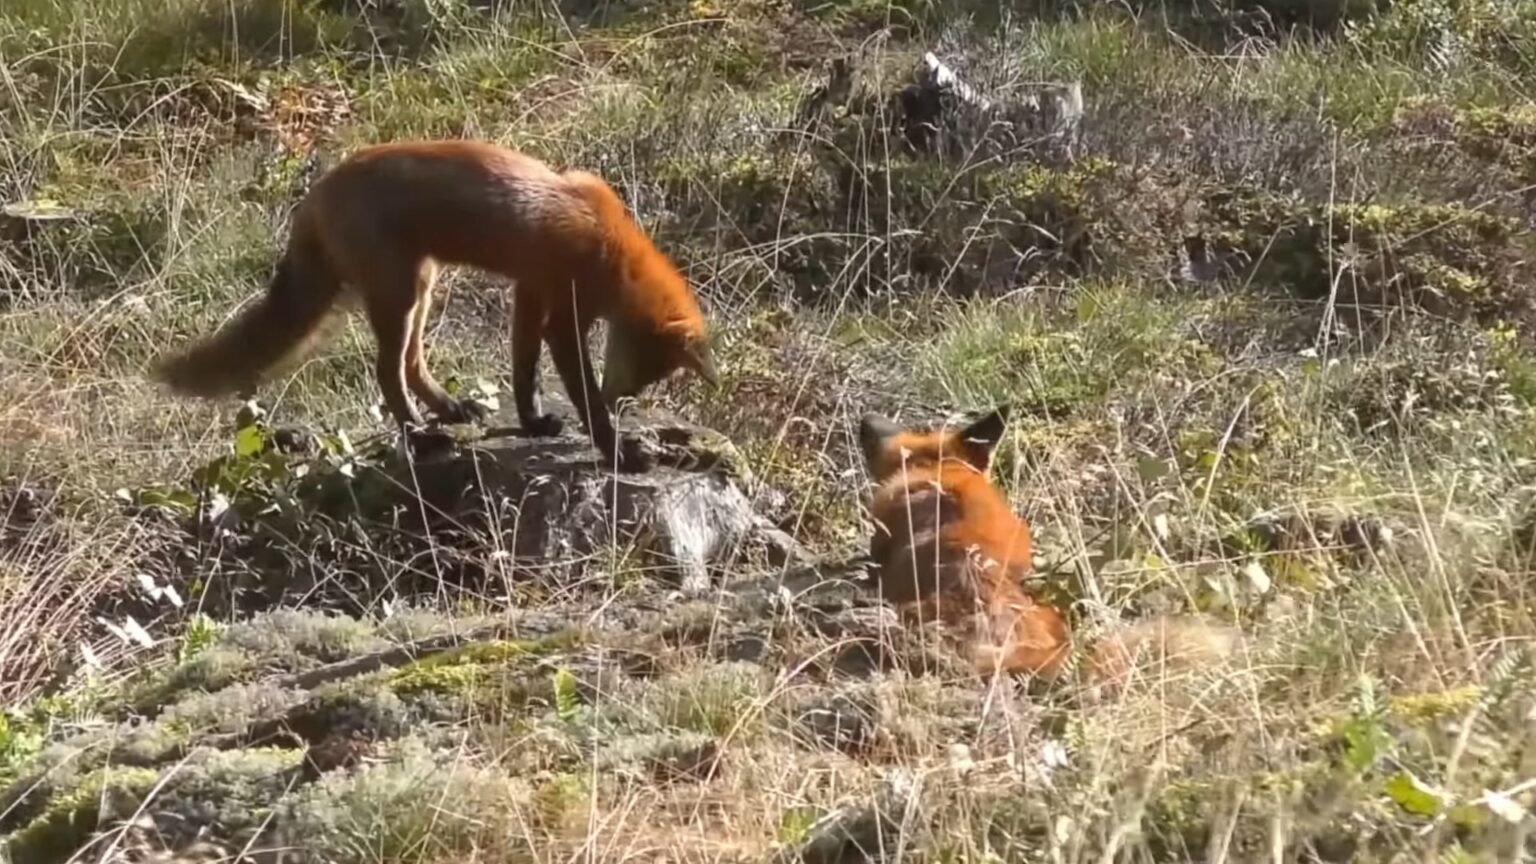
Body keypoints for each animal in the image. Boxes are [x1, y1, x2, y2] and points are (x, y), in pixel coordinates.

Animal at [150, 139, 719, 472]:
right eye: (644, 368)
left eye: (656, 376)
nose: (624, 398)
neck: (609, 244)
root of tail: (315, 194)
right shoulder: (562, 314)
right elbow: (579, 394)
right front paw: (617, 448)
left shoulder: (529, 292)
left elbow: (524, 372)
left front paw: (535, 422)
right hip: (400, 295)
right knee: (386, 372)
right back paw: (420, 438)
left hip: (422, 286)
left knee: (410, 364)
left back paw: (448, 410)